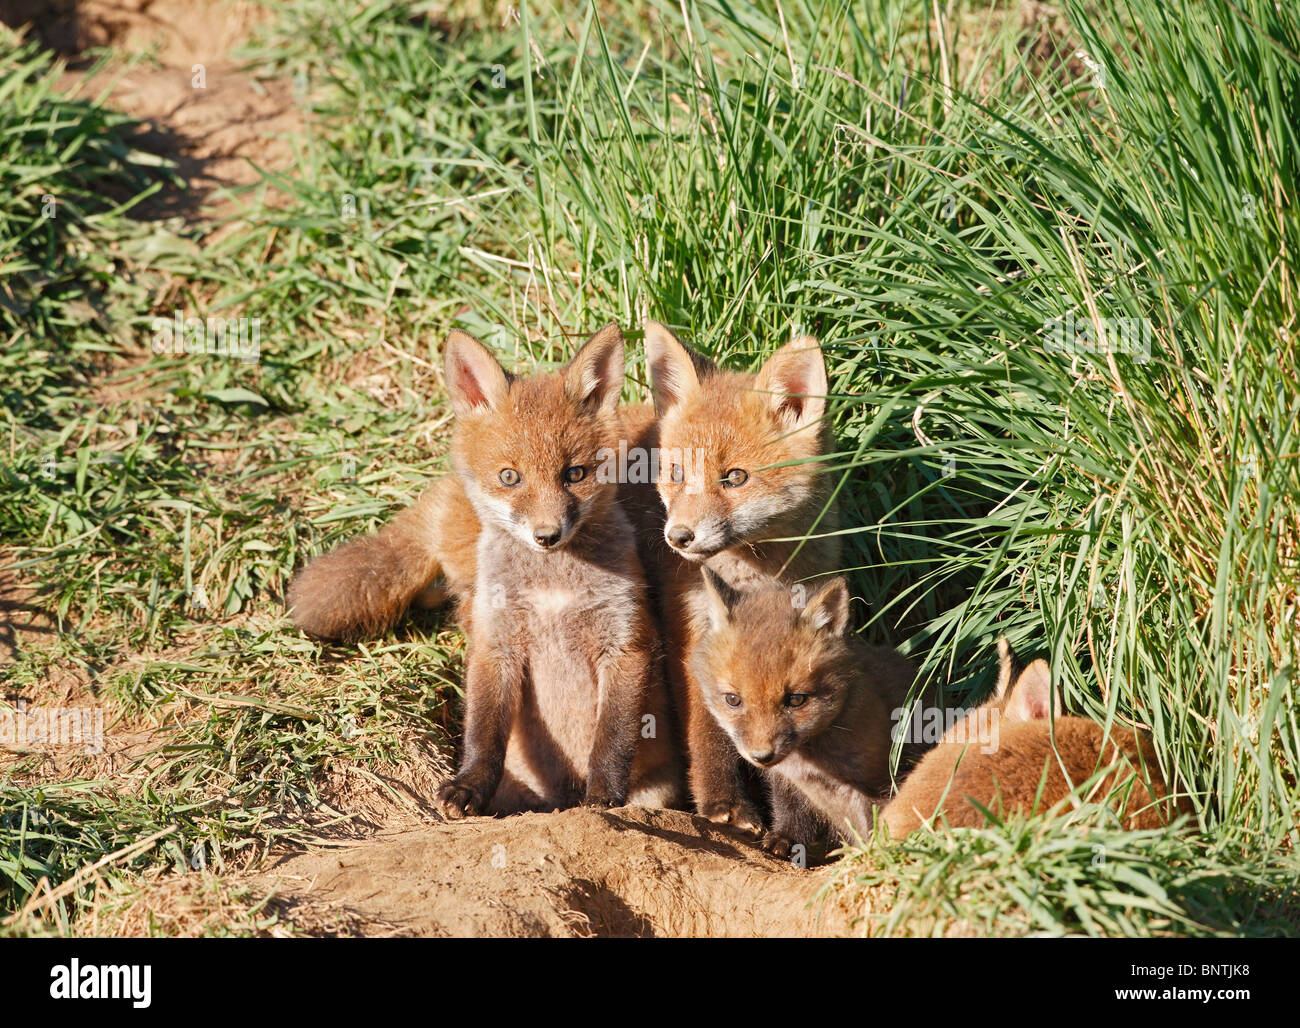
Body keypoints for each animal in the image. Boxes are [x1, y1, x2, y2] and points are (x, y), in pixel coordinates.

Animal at [287, 324, 682, 816]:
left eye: (575, 474)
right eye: (510, 477)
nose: (547, 536)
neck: (552, 591)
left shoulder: (626, 642)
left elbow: (613, 737)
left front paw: (603, 797)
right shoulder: (496, 644)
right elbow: (483, 733)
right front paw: (469, 786)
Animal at [642, 320, 841, 833]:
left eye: (734, 477)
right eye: (676, 473)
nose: (678, 537)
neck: (756, 577)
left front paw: (791, 829)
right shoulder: (696, 636)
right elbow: (707, 732)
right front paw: (722, 805)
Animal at [692, 570, 924, 853]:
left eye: (796, 700)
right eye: (733, 700)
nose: (761, 756)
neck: (809, 762)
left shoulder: (882, 778)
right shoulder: (789, 782)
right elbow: (792, 811)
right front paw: (786, 839)